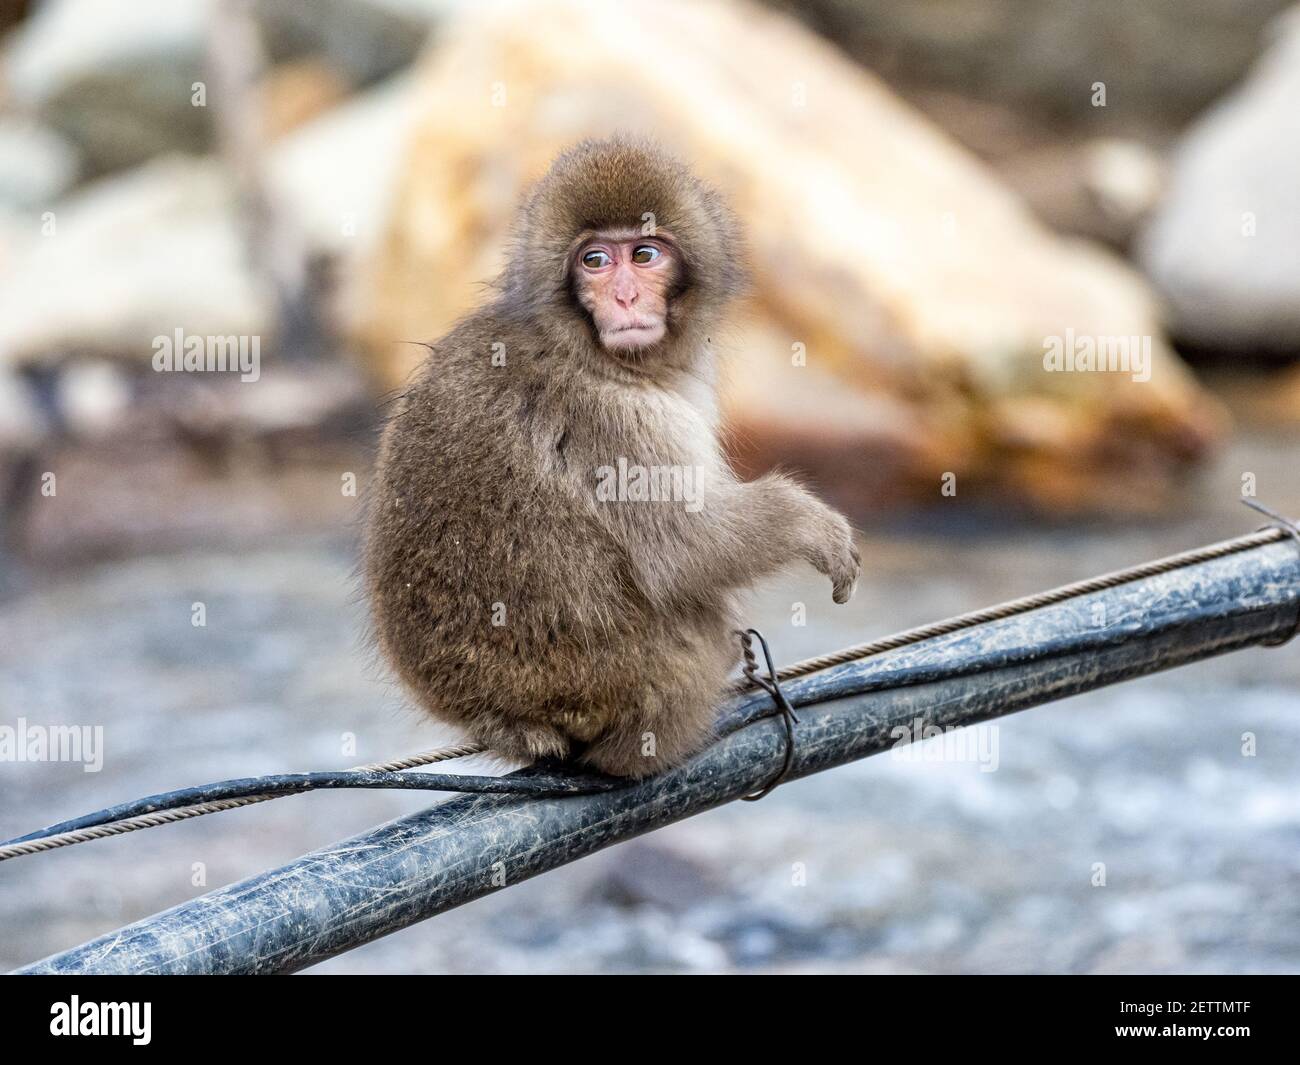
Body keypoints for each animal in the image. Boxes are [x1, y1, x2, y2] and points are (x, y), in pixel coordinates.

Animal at [364, 136, 859, 778]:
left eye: (644, 254)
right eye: (595, 261)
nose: (624, 296)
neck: (586, 347)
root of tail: (506, 720)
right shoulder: (611, 417)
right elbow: (687, 551)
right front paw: (810, 524)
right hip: (623, 686)